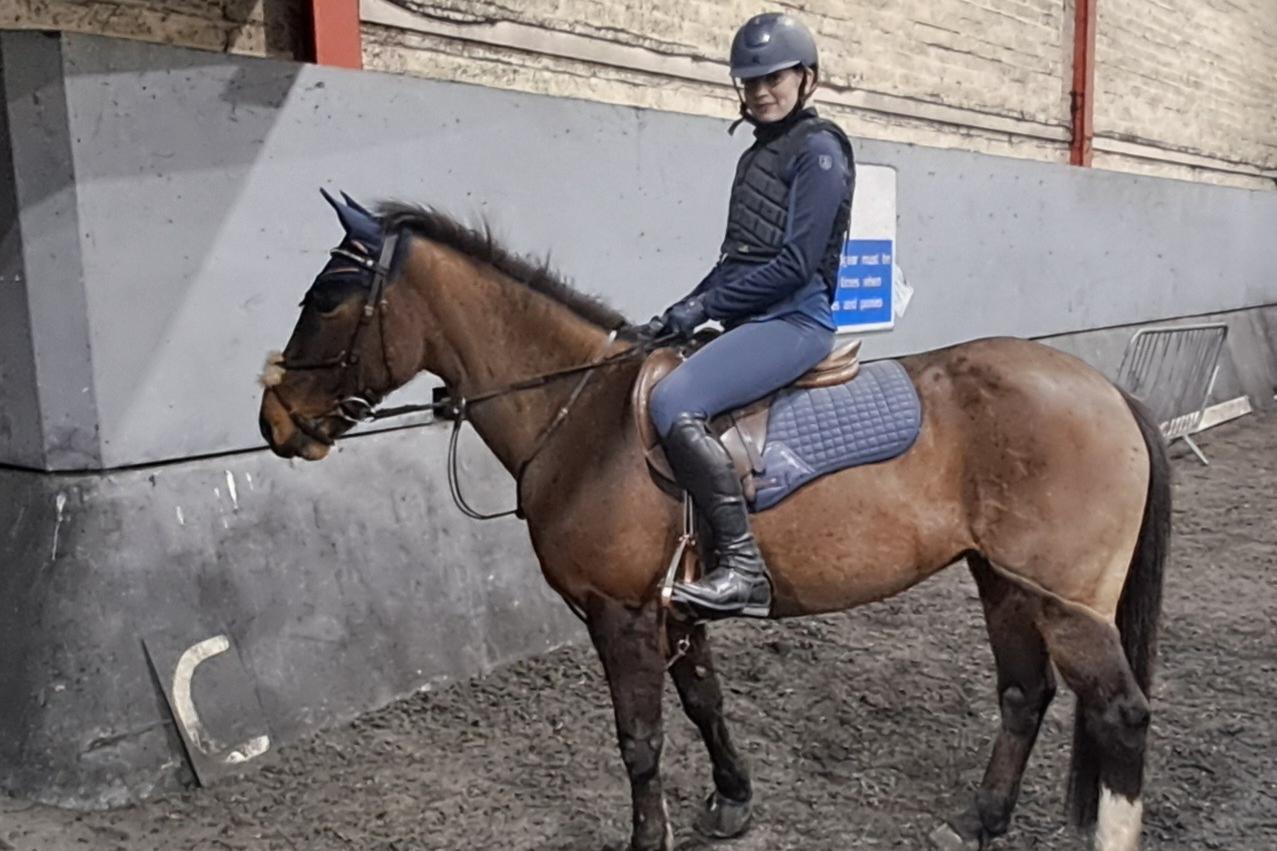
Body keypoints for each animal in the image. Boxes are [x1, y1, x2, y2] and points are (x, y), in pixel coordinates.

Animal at [258, 193, 1170, 851]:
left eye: (330, 299)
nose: (274, 420)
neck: (583, 415)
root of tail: (1104, 389)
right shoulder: (675, 608)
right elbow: (704, 704)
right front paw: (731, 802)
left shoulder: (619, 613)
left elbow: (639, 736)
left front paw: (647, 838)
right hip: (1003, 581)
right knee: (1023, 693)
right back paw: (977, 820)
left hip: (1066, 601)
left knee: (1119, 713)